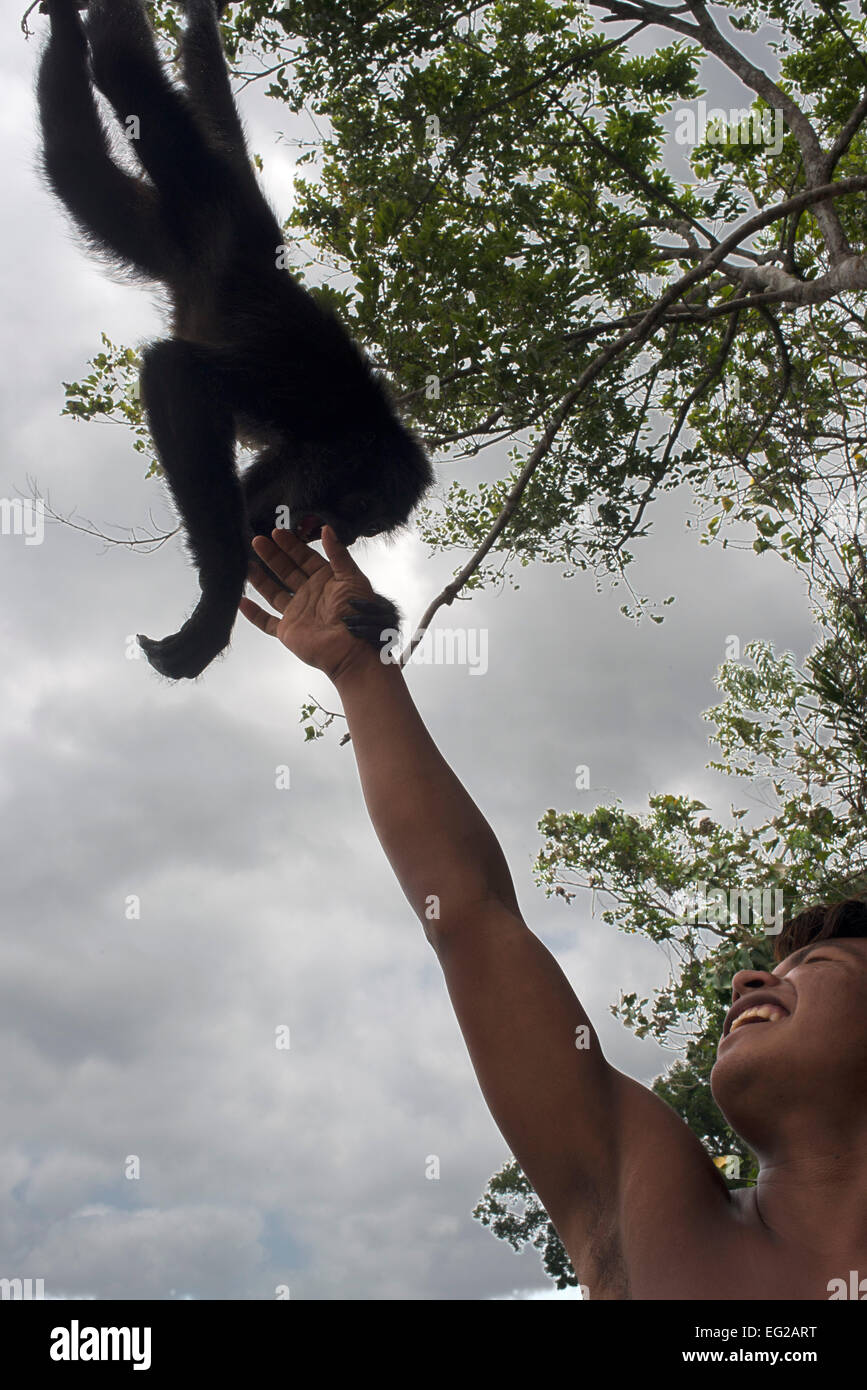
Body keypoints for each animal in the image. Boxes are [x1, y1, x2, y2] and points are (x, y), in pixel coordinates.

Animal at [35, 0, 433, 679]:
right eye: (359, 512)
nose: (341, 536)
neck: (356, 427)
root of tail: (253, 226)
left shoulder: (297, 457)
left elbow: (252, 520)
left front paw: (374, 615)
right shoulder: (308, 400)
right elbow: (179, 374)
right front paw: (218, 601)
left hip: (166, 231)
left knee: (72, 161)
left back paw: (66, 33)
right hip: (202, 187)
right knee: (124, 74)